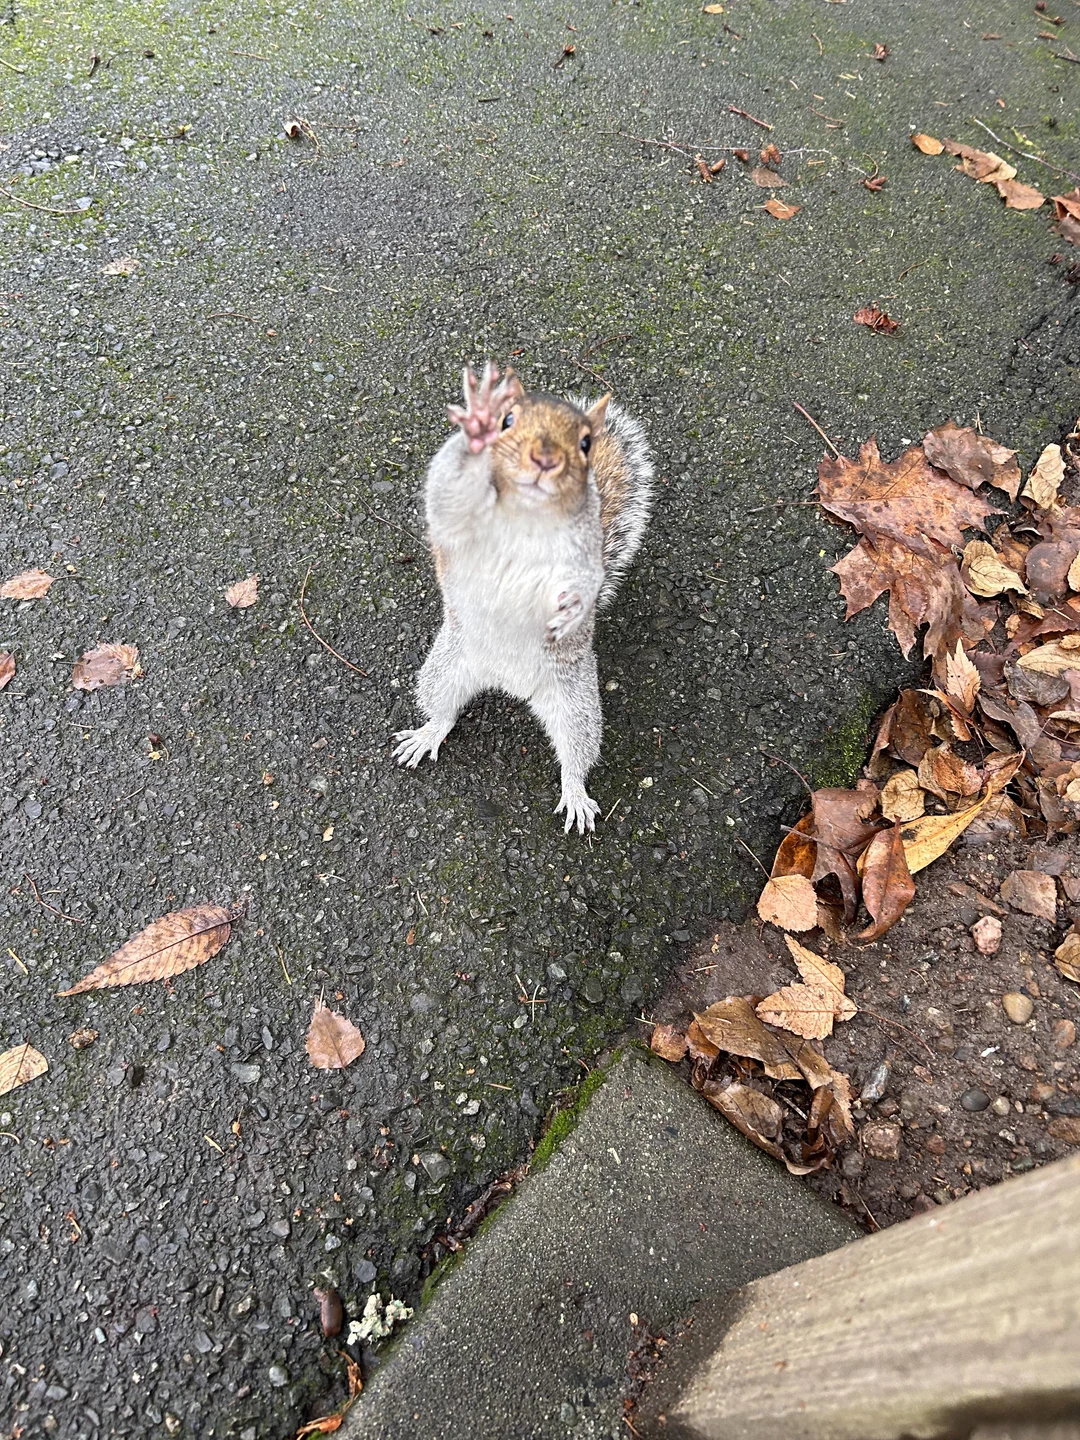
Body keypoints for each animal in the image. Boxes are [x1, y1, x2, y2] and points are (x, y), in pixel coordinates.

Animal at [393, 362, 654, 833]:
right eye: (506, 421)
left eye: (586, 443)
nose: (545, 459)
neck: (530, 515)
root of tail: (506, 682)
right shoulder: (461, 520)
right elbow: (447, 493)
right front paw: (476, 423)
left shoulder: (586, 551)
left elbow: (588, 579)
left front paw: (570, 612)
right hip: (446, 669)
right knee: (443, 711)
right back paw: (427, 734)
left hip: (574, 703)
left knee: (575, 753)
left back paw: (575, 792)